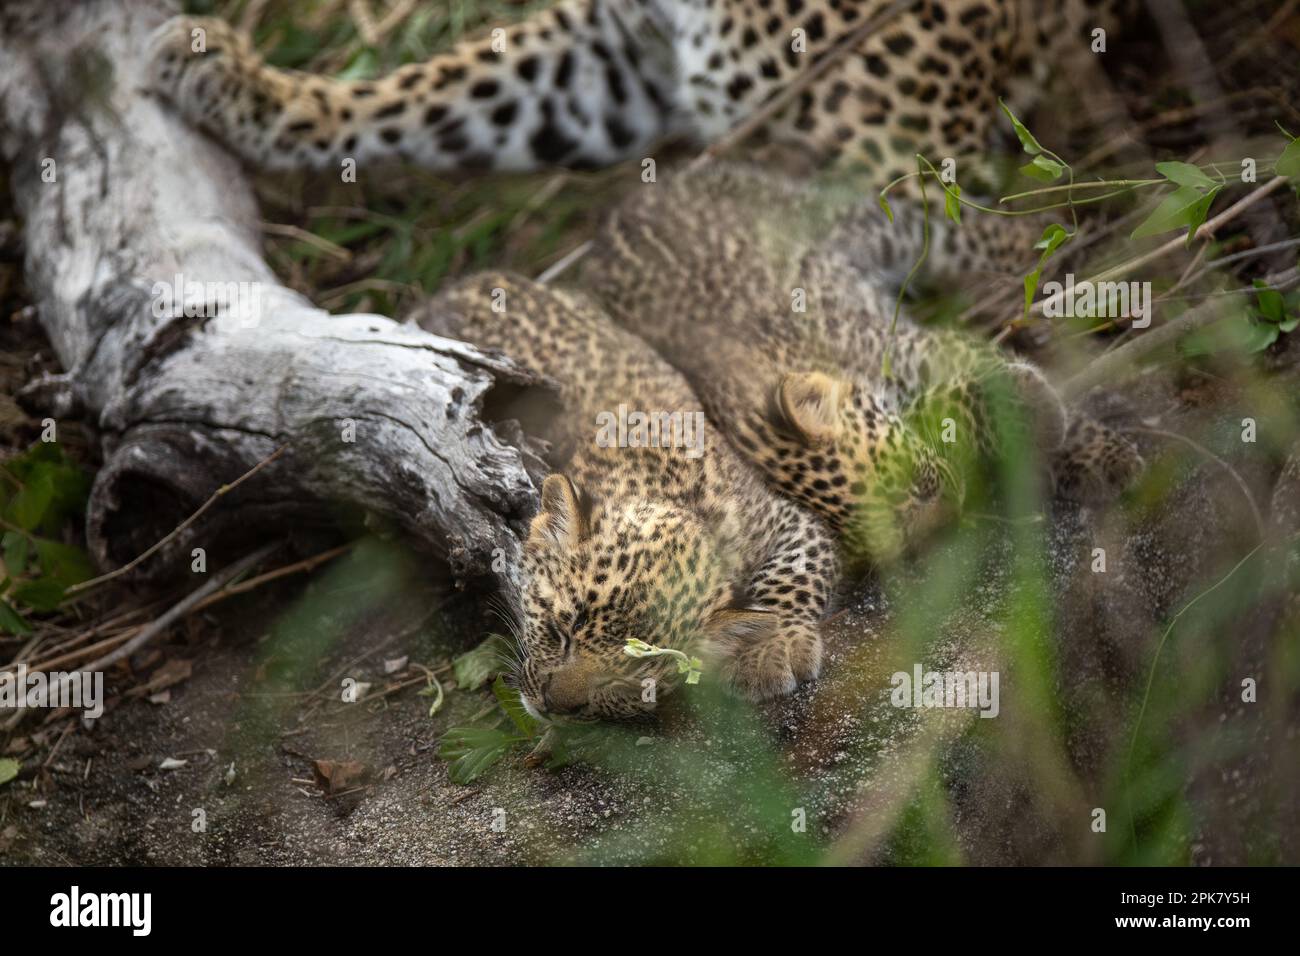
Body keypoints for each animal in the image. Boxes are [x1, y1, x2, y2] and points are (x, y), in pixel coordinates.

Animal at [426, 270, 839, 717]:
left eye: (623, 680)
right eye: (562, 631)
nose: (555, 707)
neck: (665, 484)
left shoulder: (782, 517)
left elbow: (797, 571)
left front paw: (772, 645)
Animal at [577, 162, 1144, 561]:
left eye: (916, 484)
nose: (952, 513)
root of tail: (622, 206)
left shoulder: (901, 345)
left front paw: (1093, 449)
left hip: (860, 226)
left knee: (953, 230)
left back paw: (1045, 236)